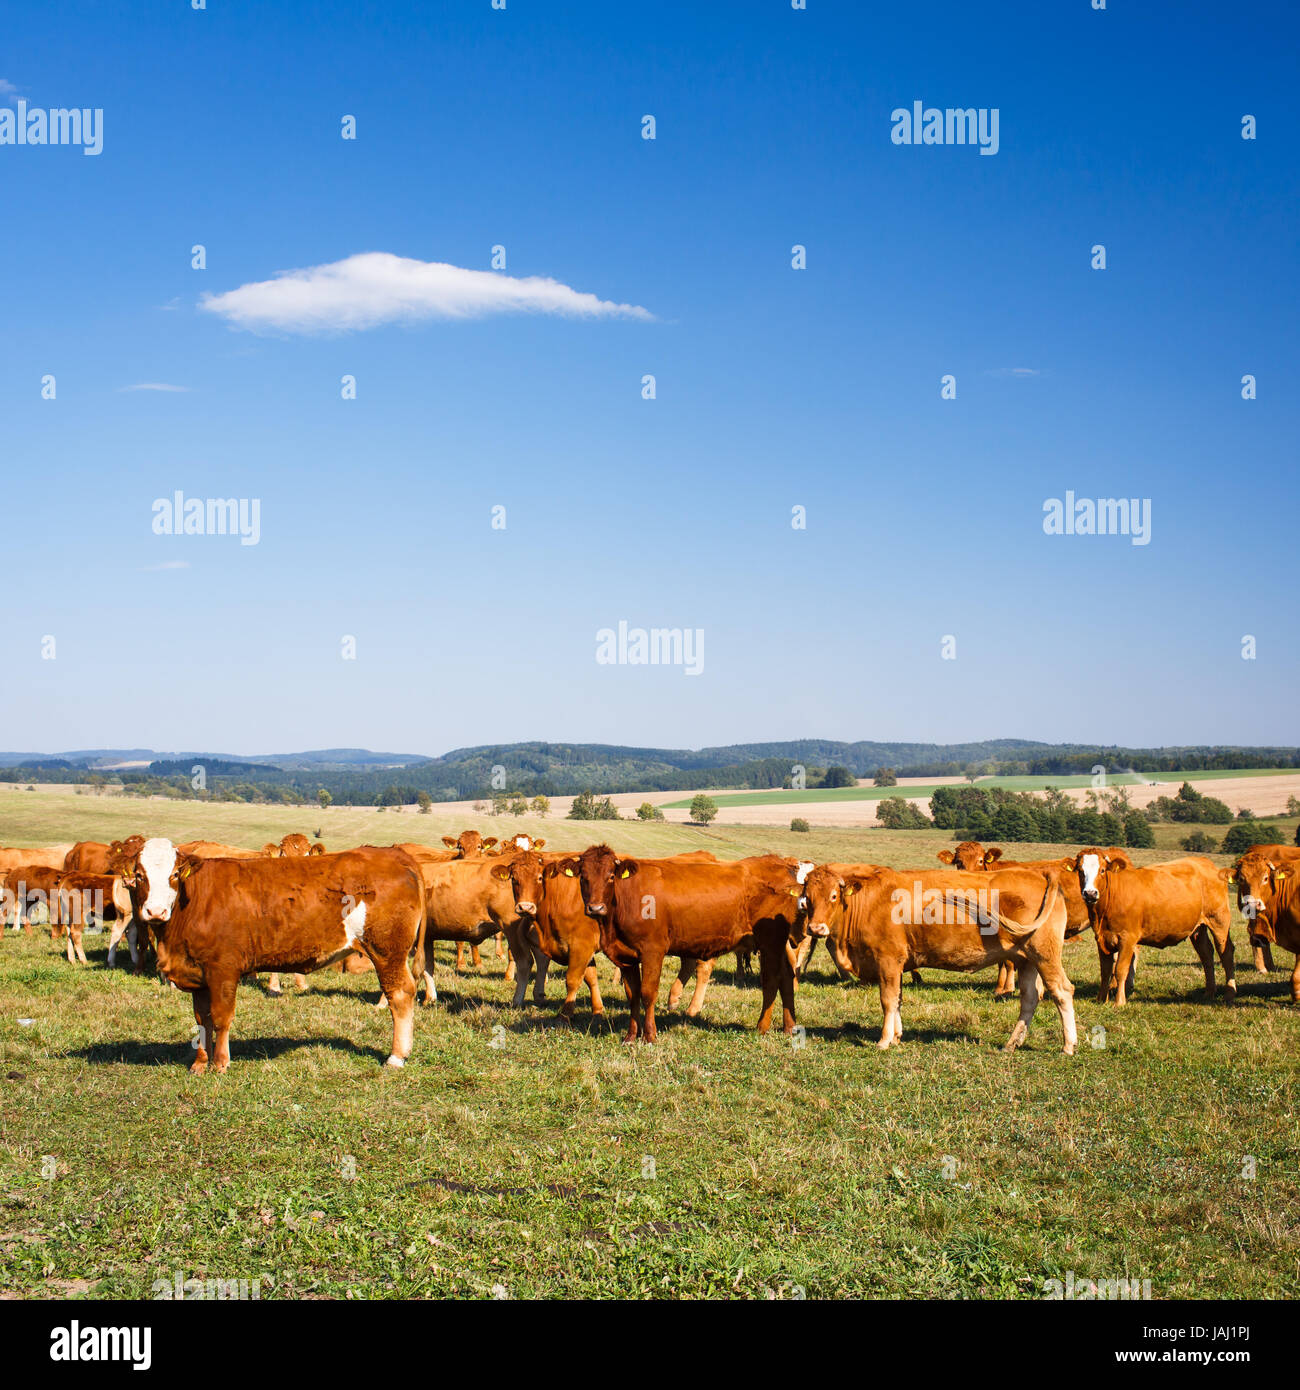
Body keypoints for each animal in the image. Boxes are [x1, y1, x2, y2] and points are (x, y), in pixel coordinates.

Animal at [107, 839, 426, 1072]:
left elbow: (221, 1017)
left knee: (400, 994)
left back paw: (396, 1056)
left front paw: (220, 1063)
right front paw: (199, 1063)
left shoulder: (223, 969)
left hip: (387, 952)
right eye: (139, 875)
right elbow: (202, 1019)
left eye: (174, 875)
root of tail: (395, 854)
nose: (155, 911)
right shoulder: (198, 974)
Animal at [575, 845, 805, 1043]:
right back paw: (788, 1027)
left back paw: (762, 1026)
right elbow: (633, 996)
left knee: (772, 979)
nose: (595, 908)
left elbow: (648, 993)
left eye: (611, 876)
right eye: (583, 877)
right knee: (786, 976)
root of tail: (779, 862)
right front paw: (631, 1037)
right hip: (780, 944)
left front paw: (650, 1036)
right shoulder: (626, 956)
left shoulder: (652, 951)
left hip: (770, 943)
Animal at [794, 862, 1077, 1053]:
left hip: (1045, 955)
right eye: (807, 898)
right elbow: (898, 1000)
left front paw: (884, 1040)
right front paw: (896, 1036)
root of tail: (1039, 874)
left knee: (1062, 991)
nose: (815, 928)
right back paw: (1011, 1043)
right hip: (1027, 959)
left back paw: (1068, 1045)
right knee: (1030, 998)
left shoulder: (888, 961)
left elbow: (888, 1000)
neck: (869, 901)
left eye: (833, 896)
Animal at [1070, 849, 1235, 1005]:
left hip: (1219, 921)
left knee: (1225, 952)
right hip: (1198, 929)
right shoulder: (1101, 938)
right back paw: (1209, 993)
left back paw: (1229, 994)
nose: (1090, 894)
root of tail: (1206, 863)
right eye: (1080, 870)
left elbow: (1120, 970)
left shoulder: (1127, 938)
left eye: (1102, 870)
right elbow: (1105, 972)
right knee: (1206, 954)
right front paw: (1101, 999)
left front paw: (1119, 1002)